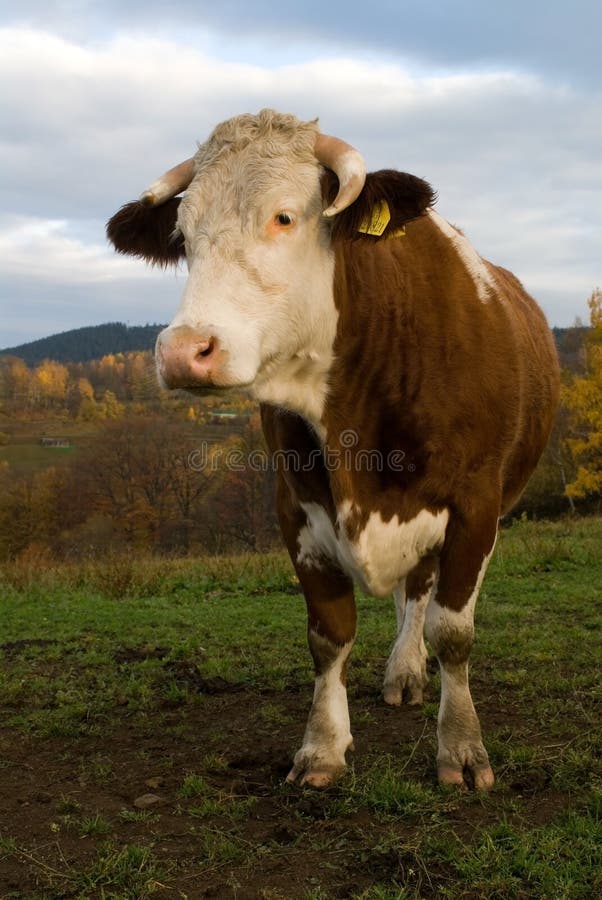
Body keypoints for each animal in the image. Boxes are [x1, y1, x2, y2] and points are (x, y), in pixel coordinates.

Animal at [107, 109, 560, 791]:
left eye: (284, 216)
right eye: (183, 237)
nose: (184, 351)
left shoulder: (476, 504)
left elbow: (453, 631)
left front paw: (460, 747)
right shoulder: (296, 507)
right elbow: (329, 636)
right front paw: (321, 748)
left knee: (422, 595)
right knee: (411, 590)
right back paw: (403, 670)